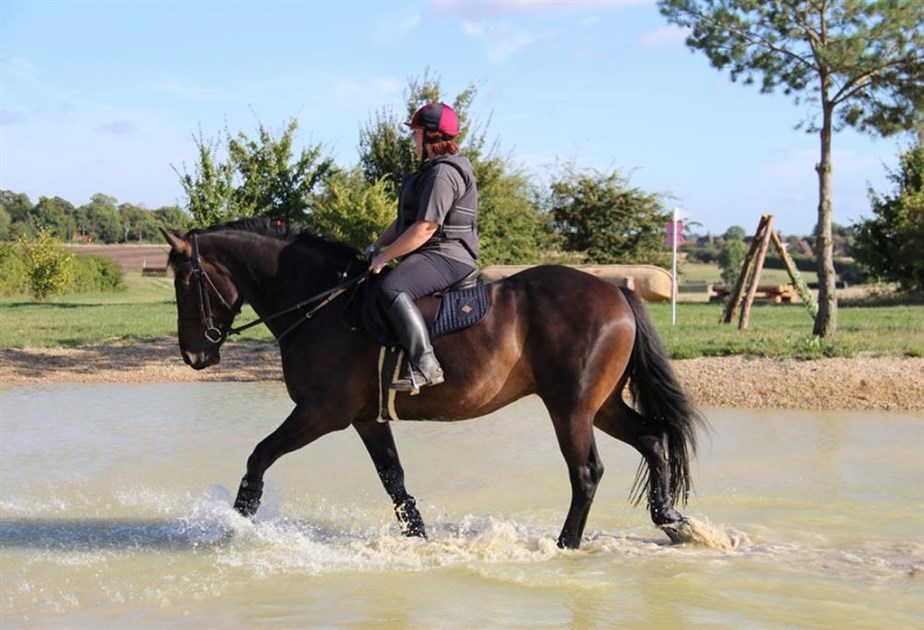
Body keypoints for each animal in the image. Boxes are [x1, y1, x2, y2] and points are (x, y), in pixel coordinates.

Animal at [160, 218, 707, 549]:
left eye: (186, 282)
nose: (194, 355)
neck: (322, 304)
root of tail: (616, 292)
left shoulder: (321, 413)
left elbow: (259, 455)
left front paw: (237, 520)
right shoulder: (366, 418)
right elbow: (394, 478)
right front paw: (417, 539)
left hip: (570, 409)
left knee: (587, 472)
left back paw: (566, 545)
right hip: (602, 404)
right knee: (653, 438)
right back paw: (670, 521)